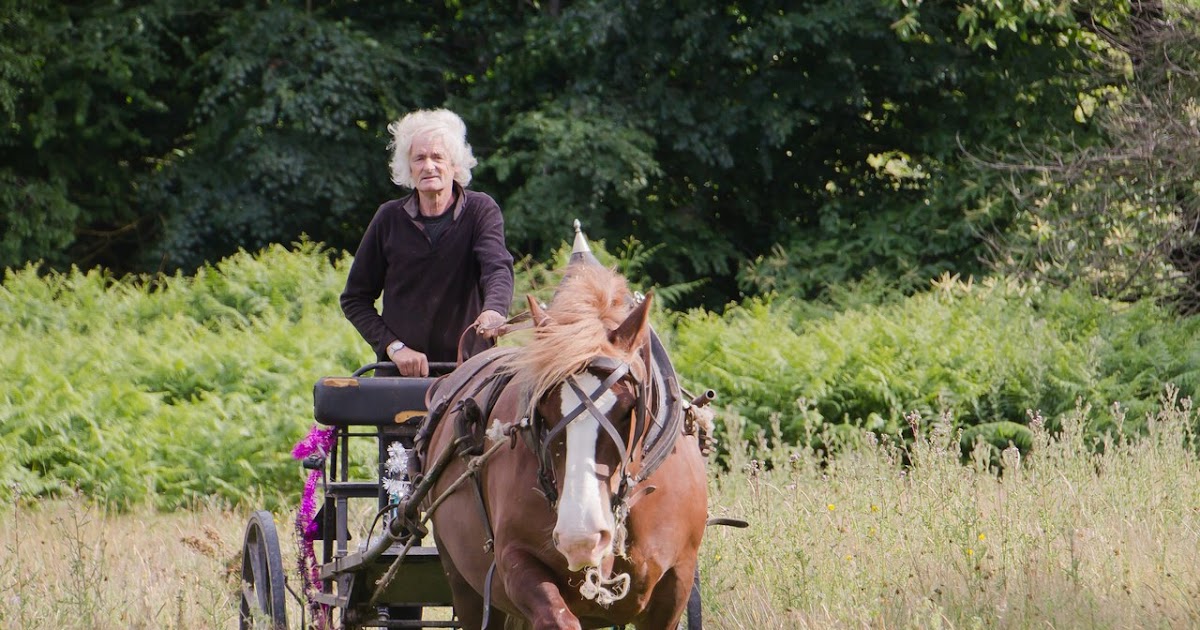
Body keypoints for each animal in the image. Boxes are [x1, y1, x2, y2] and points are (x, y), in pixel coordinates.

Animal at [419, 264, 708, 629]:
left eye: (629, 409)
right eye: (542, 412)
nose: (581, 537)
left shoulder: (676, 584)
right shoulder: (515, 561)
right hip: (462, 580)